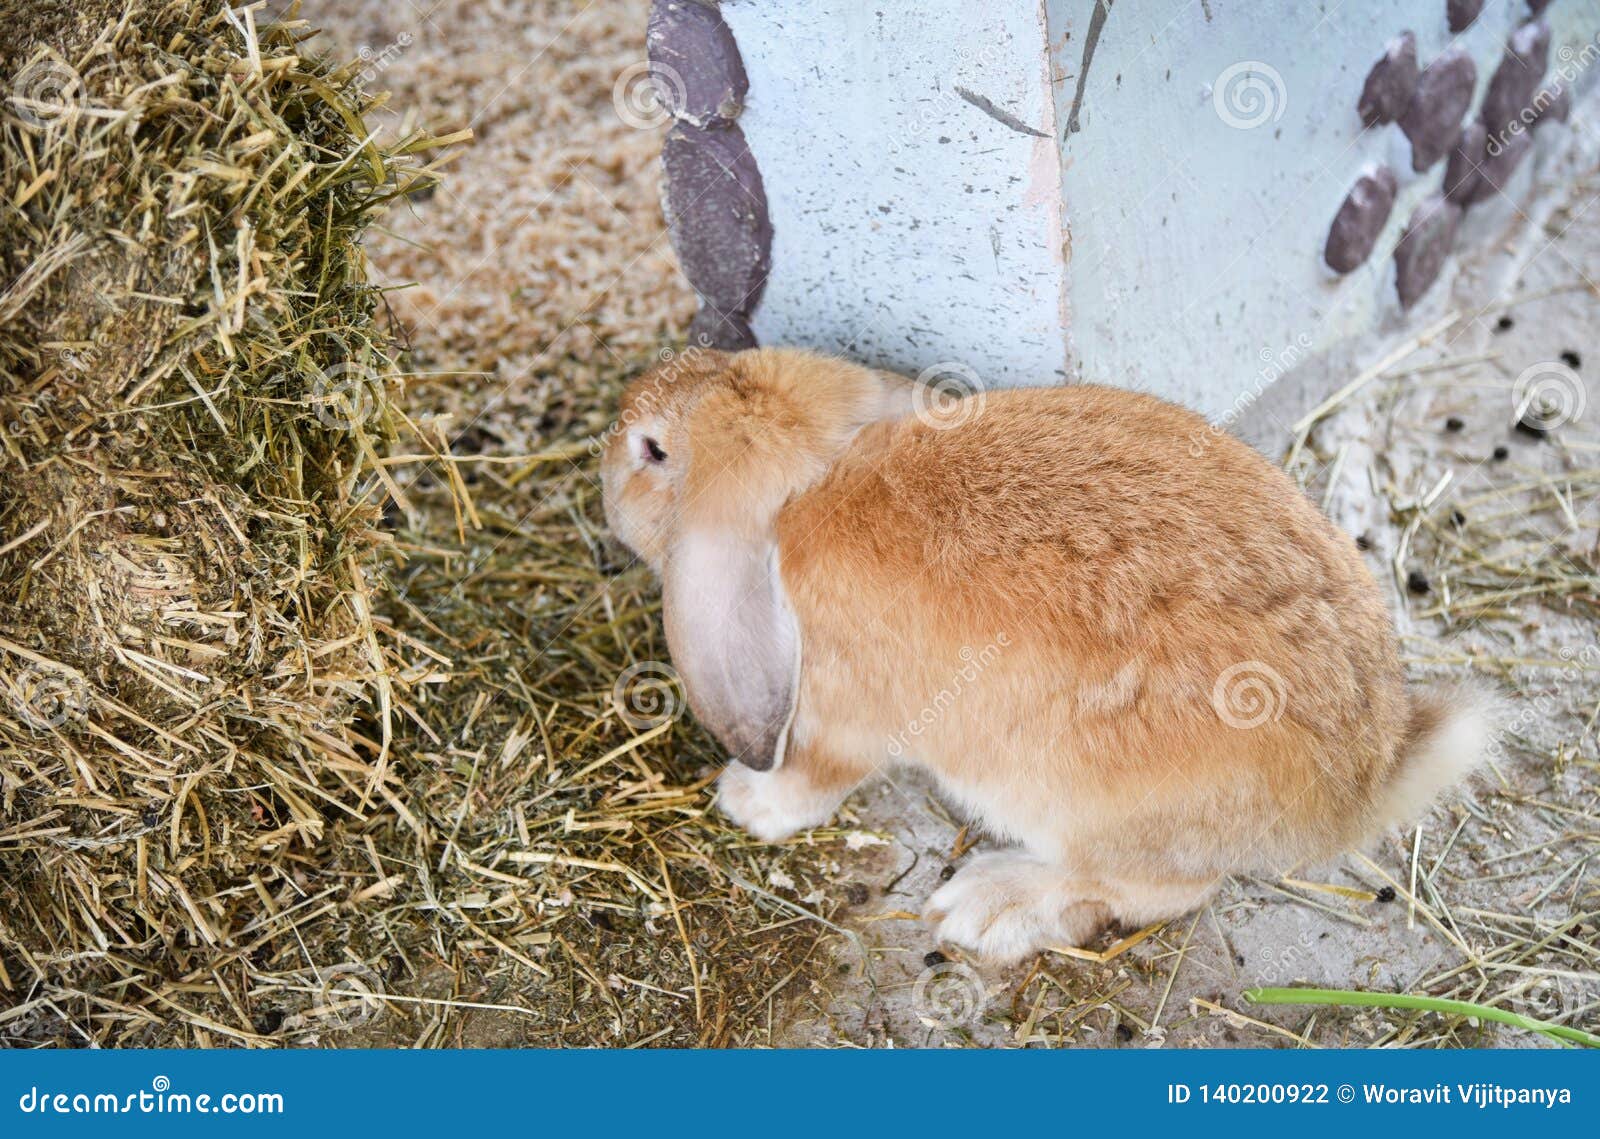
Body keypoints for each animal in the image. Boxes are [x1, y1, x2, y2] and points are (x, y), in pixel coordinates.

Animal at [600, 346, 1502, 963]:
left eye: (652, 450)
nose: (613, 427)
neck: (815, 477)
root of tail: (1361, 787)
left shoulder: (841, 709)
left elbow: (818, 771)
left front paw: (749, 802)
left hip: (1084, 812)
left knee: (1156, 891)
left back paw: (991, 905)